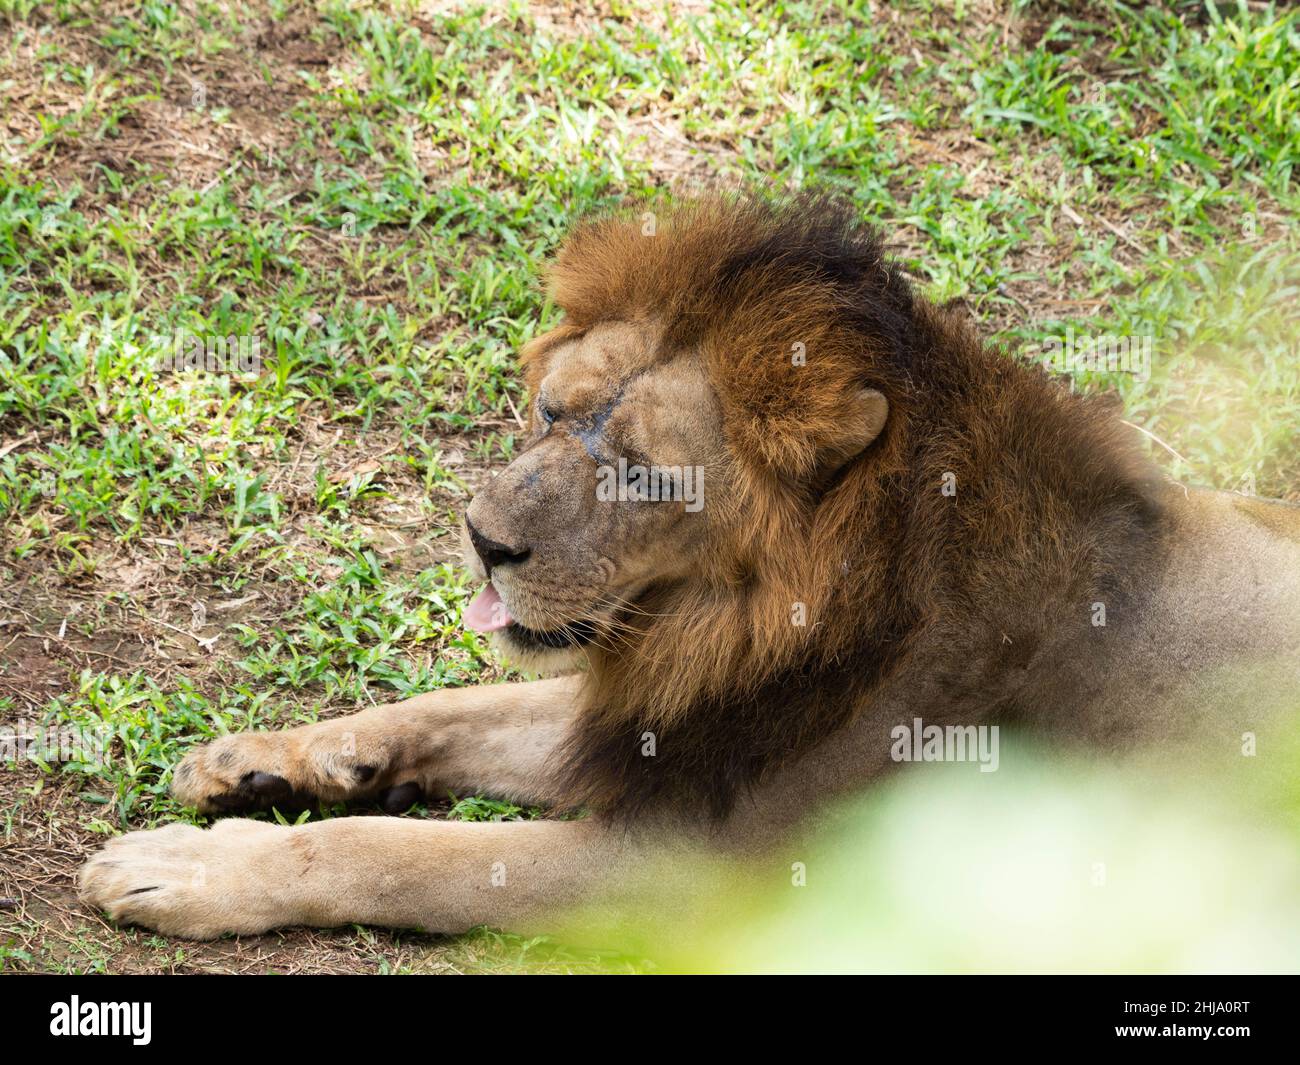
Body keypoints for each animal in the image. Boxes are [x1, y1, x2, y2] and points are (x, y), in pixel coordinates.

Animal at [79, 195, 1300, 941]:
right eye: (548, 410)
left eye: (645, 476)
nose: (481, 536)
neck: (738, 625)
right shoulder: (663, 717)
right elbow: (453, 708)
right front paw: (258, 758)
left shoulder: (694, 871)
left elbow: (402, 856)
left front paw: (185, 870)